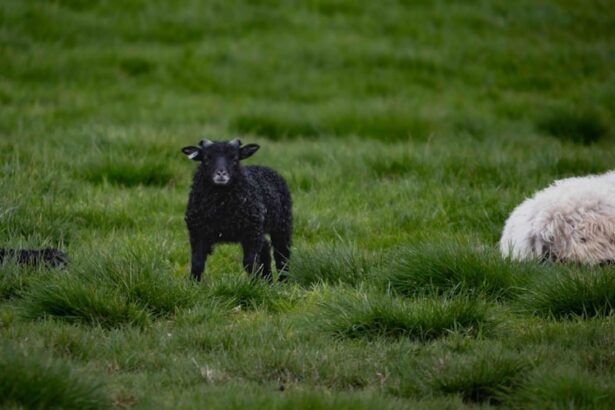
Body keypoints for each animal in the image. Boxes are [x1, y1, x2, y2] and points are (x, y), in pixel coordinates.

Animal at [180, 138, 294, 282]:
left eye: (234, 158)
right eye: (206, 158)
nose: (221, 173)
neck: (222, 210)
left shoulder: (251, 234)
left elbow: (250, 263)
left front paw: (254, 284)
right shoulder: (197, 233)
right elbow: (197, 263)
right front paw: (193, 284)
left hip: (282, 225)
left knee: (282, 255)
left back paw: (283, 281)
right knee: (266, 250)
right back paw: (269, 281)